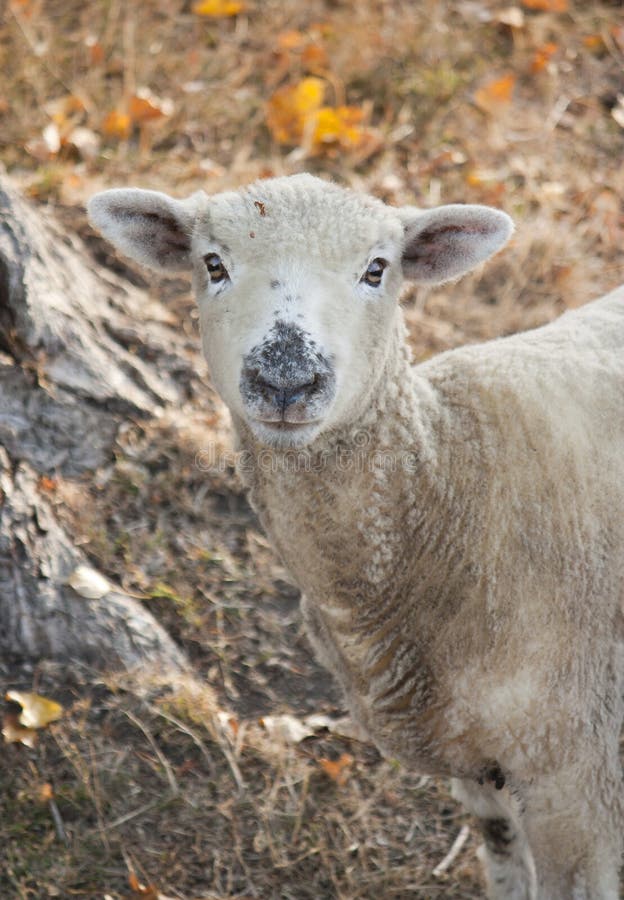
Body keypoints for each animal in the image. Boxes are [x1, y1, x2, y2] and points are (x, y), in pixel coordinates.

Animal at [88, 173, 624, 900]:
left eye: (377, 269)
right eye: (213, 264)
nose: (286, 378)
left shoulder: (574, 774)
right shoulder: (479, 768)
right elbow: (506, 867)